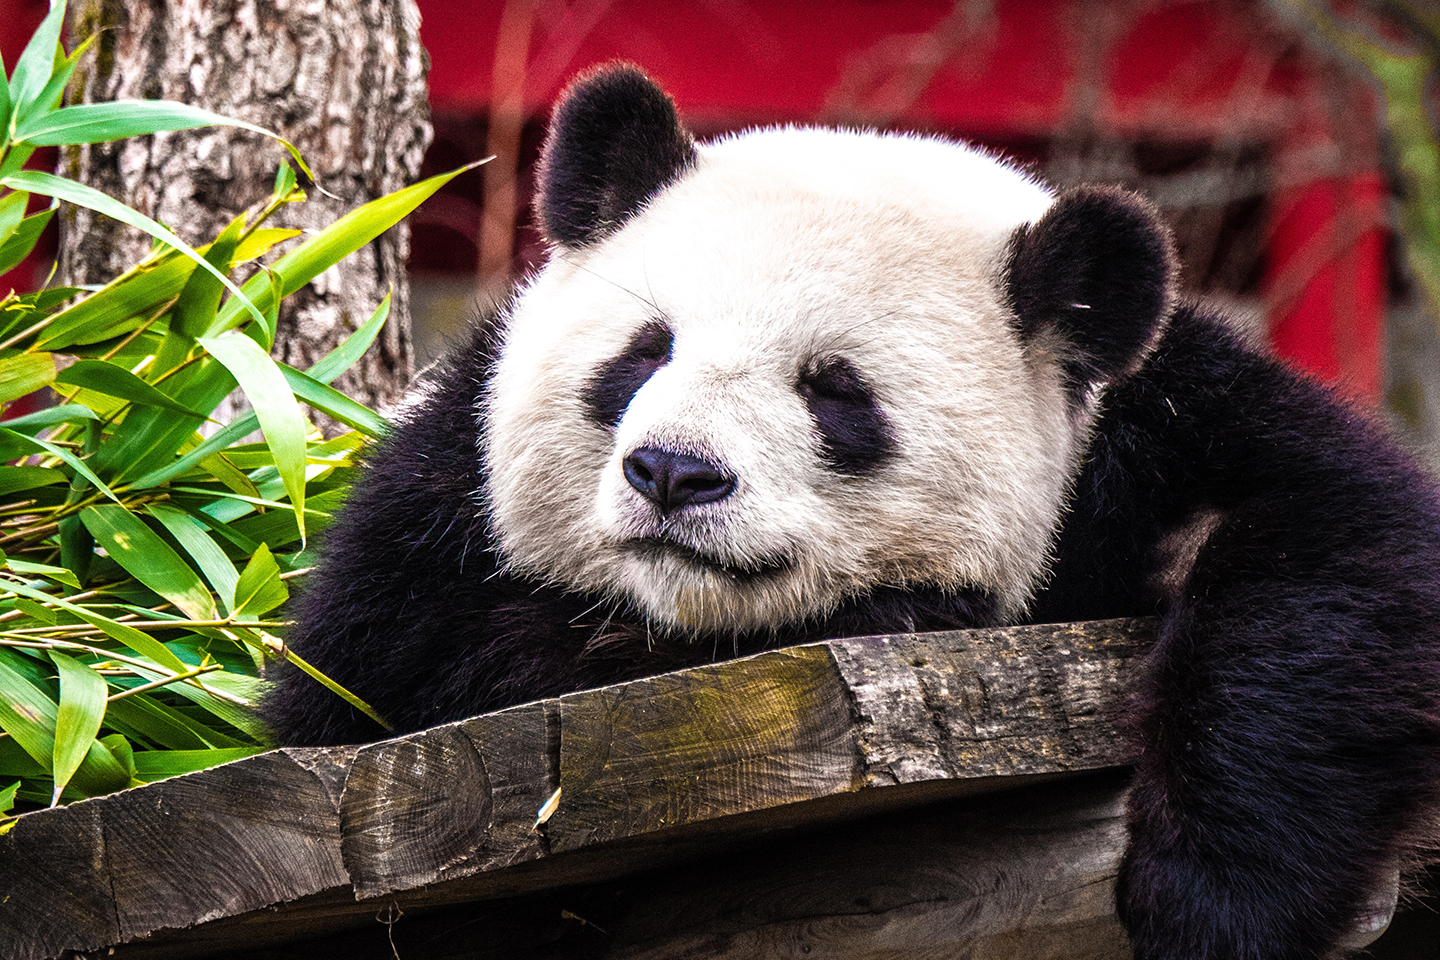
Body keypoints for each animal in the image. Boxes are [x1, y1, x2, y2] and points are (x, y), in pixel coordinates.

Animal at [261, 64, 1440, 959]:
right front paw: (908, 614)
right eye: (645, 352)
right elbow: (390, 674)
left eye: (835, 391)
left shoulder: (1154, 424)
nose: (673, 474)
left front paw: (1216, 902)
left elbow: (1339, 552)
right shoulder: (434, 504)